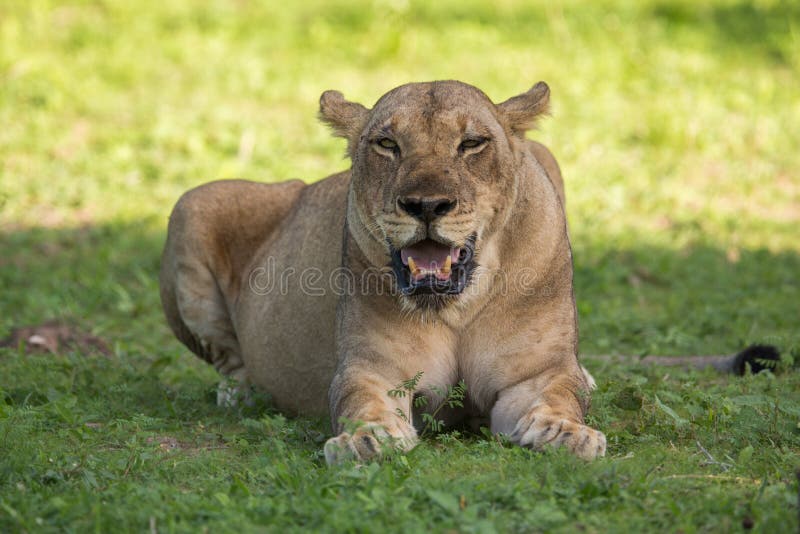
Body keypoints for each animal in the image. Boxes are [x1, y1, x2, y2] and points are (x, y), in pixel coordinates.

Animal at [159, 80, 607, 463]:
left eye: (471, 144)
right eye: (388, 144)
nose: (426, 205)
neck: (455, 309)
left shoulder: (534, 373)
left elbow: (561, 394)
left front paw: (564, 433)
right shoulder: (372, 369)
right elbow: (361, 401)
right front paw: (366, 439)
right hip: (191, 204)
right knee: (231, 364)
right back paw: (246, 394)